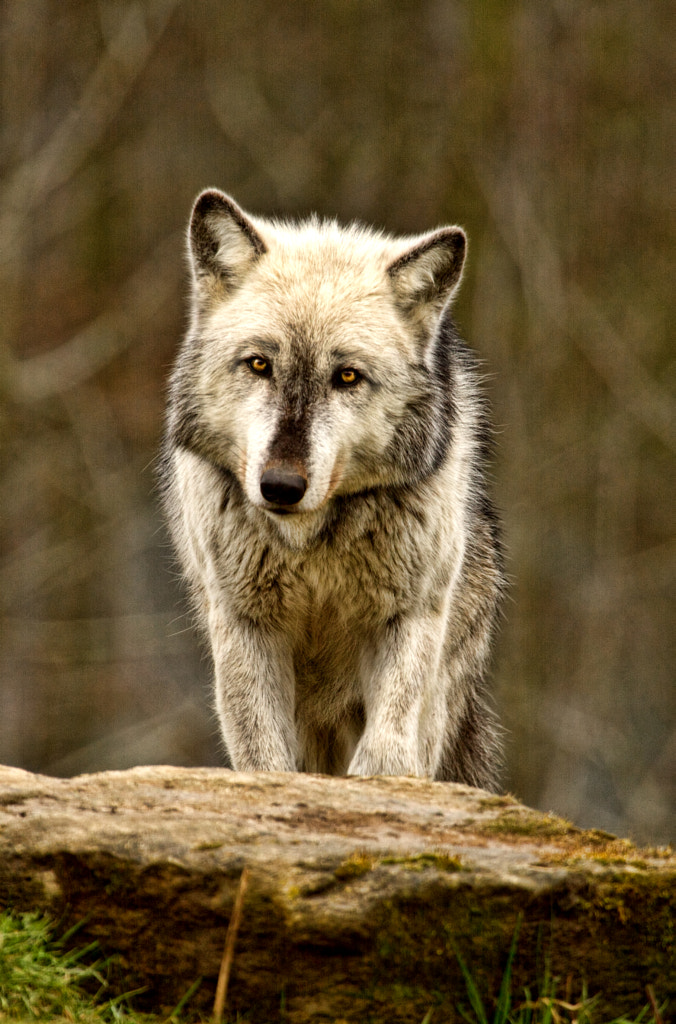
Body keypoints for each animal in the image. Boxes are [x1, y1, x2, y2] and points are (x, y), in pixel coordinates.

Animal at [160, 189, 504, 789]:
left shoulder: (410, 618)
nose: (281, 486)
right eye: (259, 364)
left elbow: (386, 755)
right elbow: (263, 758)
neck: (313, 544)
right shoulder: (245, 625)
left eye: (346, 376)